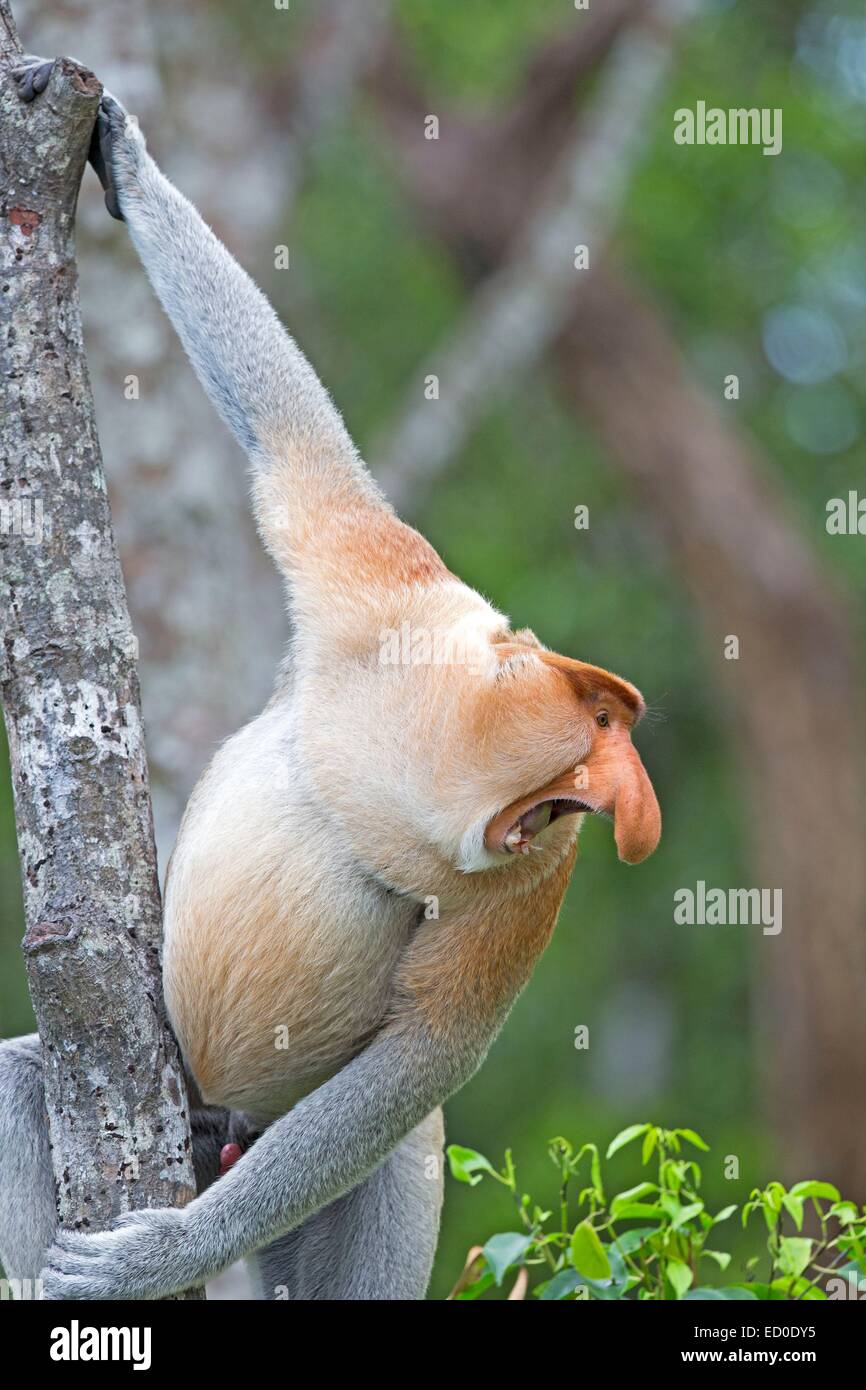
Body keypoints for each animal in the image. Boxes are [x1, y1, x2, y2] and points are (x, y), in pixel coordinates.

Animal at [0, 64, 661, 1301]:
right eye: (600, 716)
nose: (630, 805)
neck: (425, 766)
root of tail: (216, 1123)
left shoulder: (528, 879)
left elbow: (424, 1055)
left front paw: (160, 1253)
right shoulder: (373, 595)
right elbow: (288, 438)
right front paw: (127, 160)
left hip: (287, 1143)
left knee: (393, 1146)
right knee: (21, 1089)